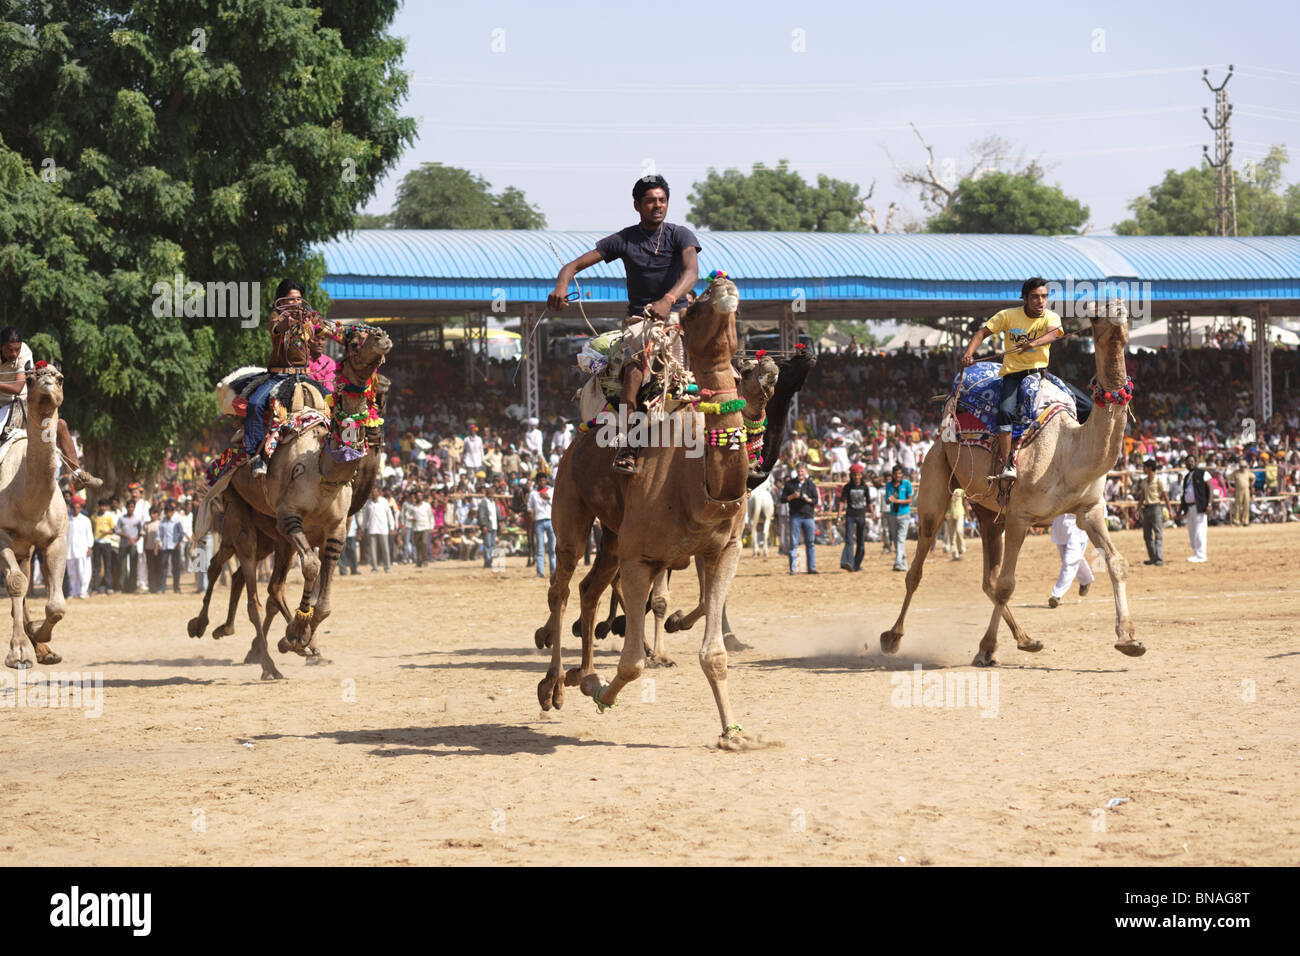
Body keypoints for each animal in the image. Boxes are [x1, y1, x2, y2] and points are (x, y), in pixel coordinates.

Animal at [214, 328, 391, 678]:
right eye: (353, 342)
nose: (382, 335)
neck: (323, 468)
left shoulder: (336, 529)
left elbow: (323, 601)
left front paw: (301, 637)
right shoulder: (289, 518)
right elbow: (309, 567)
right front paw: (295, 636)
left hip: (270, 534)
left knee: (256, 583)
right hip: (240, 514)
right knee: (247, 583)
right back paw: (258, 657)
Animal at [536, 277, 755, 747]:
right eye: (694, 310)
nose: (721, 284)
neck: (699, 484)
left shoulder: (724, 551)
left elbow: (714, 654)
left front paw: (734, 733)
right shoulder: (642, 558)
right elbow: (633, 661)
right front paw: (604, 694)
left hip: (615, 535)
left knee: (590, 587)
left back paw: (582, 674)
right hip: (570, 508)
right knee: (561, 587)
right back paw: (554, 685)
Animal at [879, 299, 1146, 665]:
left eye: (1123, 307)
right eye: (1095, 315)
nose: (1118, 315)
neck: (1069, 450)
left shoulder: (1089, 509)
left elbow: (1117, 563)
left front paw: (1129, 639)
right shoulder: (1021, 515)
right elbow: (1008, 584)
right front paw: (985, 647)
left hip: (988, 509)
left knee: (987, 579)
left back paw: (1025, 639)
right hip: (935, 472)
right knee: (919, 566)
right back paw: (892, 637)